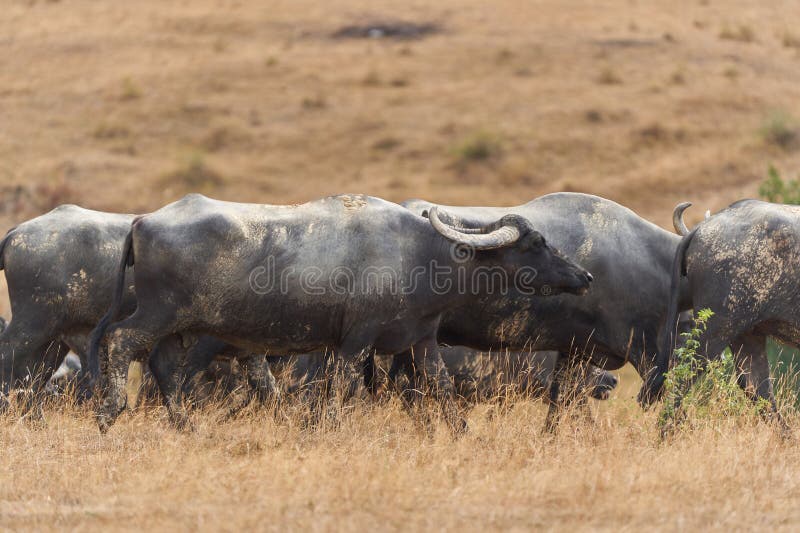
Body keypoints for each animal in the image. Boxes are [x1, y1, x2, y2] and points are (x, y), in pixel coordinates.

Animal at [88, 193, 592, 433]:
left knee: (164, 366)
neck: (417, 254)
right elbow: (342, 389)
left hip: (178, 327)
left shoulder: (422, 341)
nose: (584, 276)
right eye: (536, 242)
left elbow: (443, 389)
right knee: (122, 341)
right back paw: (110, 413)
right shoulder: (356, 341)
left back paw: (186, 426)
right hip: (158, 315)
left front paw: (461, 432)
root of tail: (143, 221)